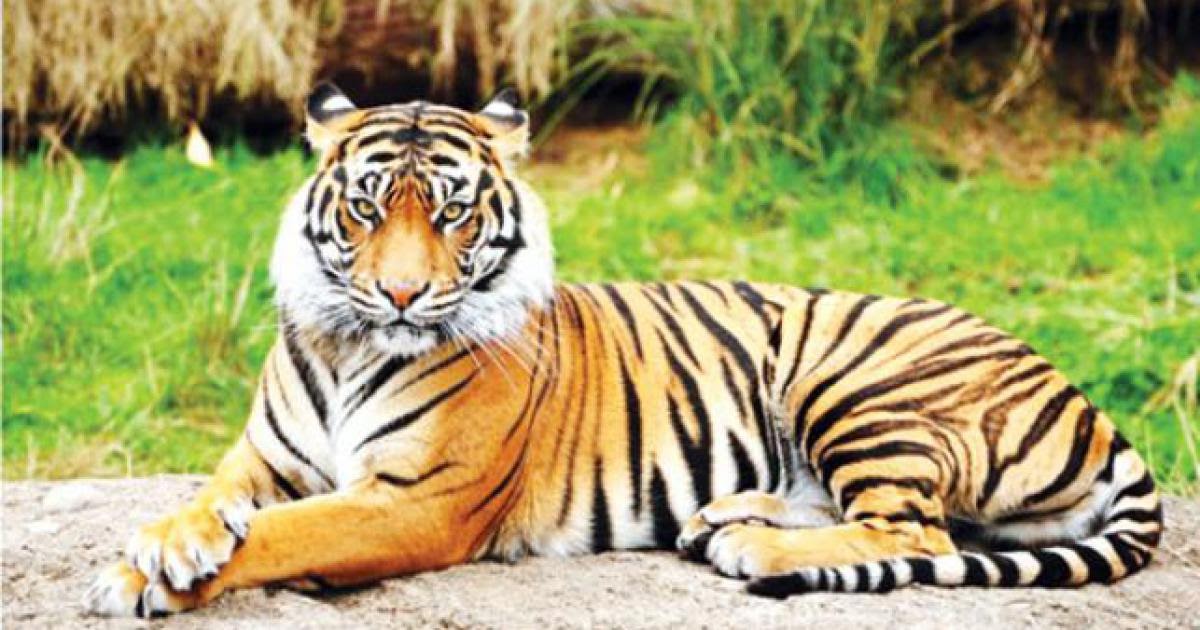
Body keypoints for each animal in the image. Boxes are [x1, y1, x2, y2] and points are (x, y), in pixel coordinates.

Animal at [84, 83, 1162, 617]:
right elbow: (216, 504)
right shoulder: (261, 459)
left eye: (452, 213)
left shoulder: (415, 501)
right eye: (366, 208)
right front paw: (161, 547)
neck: (352, 346)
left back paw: (750, 544)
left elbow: (286, 534)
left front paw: (147, 578)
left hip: (853, 377)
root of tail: (1087, 400)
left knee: (918, 533)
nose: (400, 293)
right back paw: (722, 517)